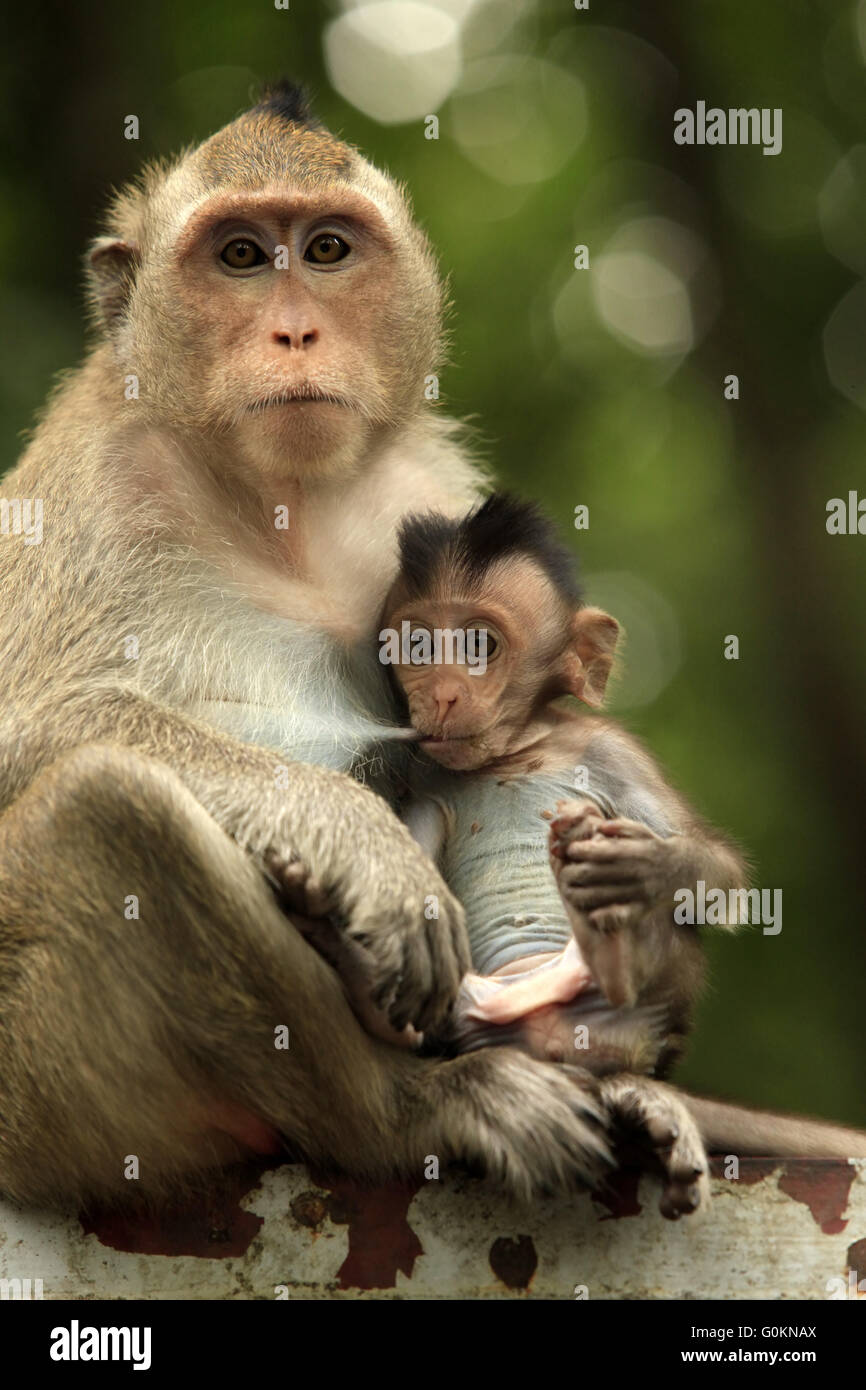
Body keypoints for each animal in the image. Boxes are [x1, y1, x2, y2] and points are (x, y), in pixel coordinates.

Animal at [0, 82, 711, 1217]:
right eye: (241, 257)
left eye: (327, 248)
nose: (296, 329)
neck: (281, 505)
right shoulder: (89, 488)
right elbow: (32, 726)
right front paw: (357, 839)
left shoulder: (430, 482)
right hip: (38, 1090)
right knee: (109, 809)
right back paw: (413, 1110)